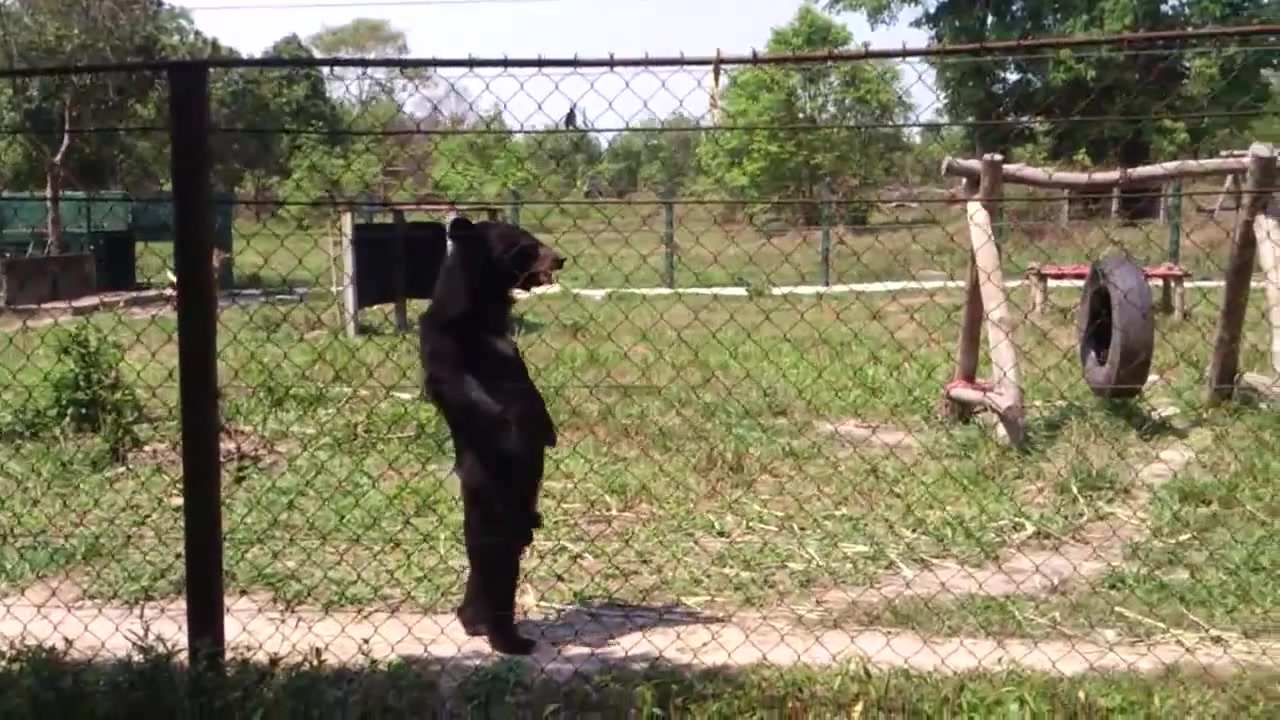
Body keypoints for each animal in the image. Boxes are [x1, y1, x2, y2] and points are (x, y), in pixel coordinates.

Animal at [418, 215, 565, 656]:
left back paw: (476, 621)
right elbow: (466, 392)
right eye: (527, 246)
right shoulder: (446, 343)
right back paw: (507, 637)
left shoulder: (507, 345)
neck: (482, 310)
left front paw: (549, 433)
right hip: (492, 487)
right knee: (495, 551)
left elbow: (531, 393)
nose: (561, 258)